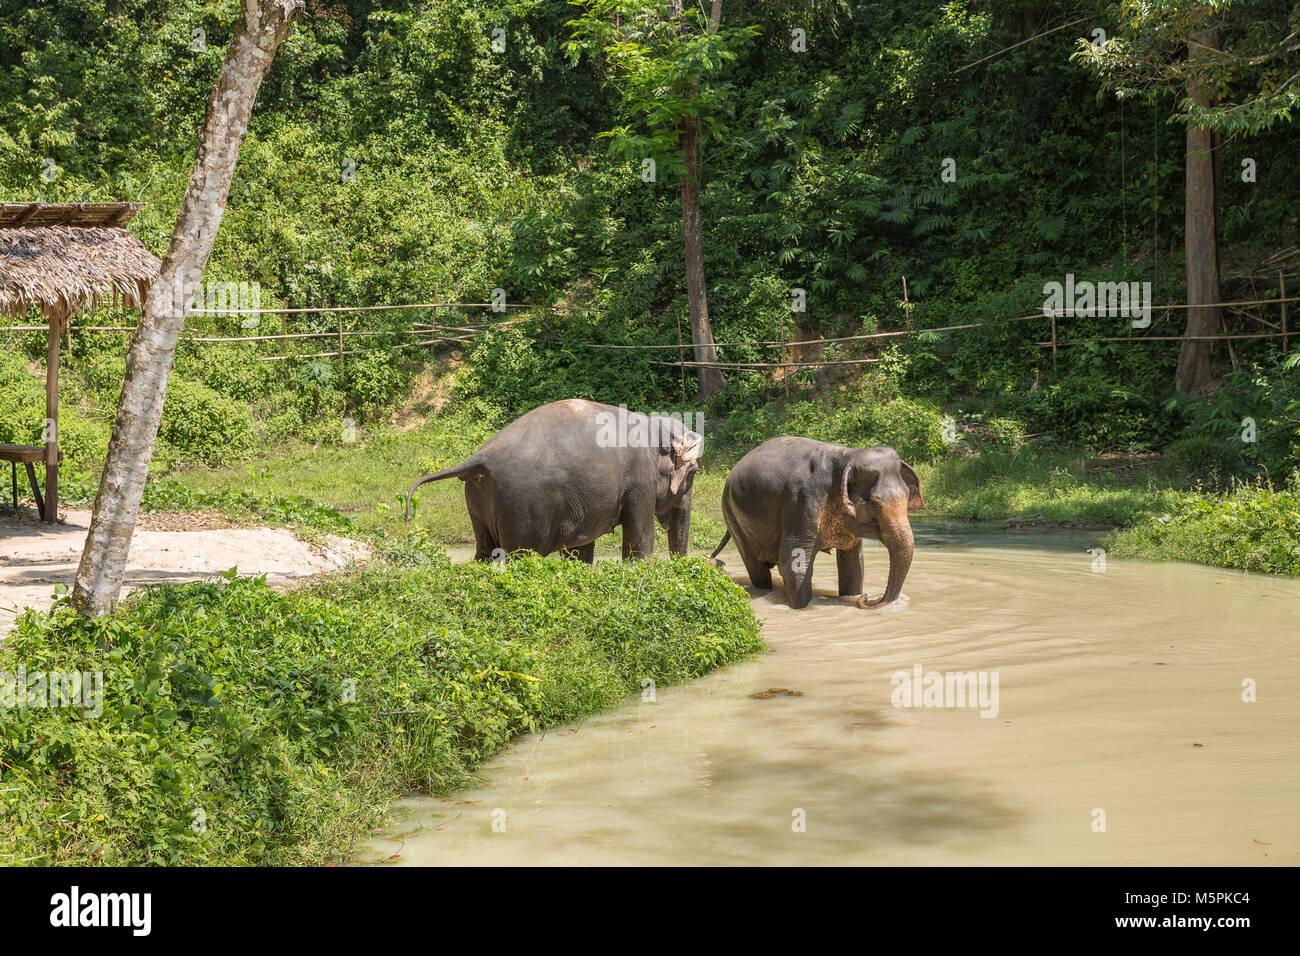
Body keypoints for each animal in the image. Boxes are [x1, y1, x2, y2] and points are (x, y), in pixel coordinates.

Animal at [404, 399, 702, 561]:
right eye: (694, 473)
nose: (680, 567)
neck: (651, 425)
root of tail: (479, 458)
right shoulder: (640, 482)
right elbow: (640, 540)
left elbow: (580, 550)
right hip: (522, 507)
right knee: (519, 556)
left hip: (476, 501)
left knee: (483, 553)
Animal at [709, 437, 923, 609]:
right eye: (875, 504)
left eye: (906, 498)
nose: (866, 597)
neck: (848, 455)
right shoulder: (802, 503)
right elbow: (793, 561)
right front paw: (801, 608)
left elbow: (854, 564)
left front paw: (850, 595)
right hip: (732, 515)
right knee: (756, 566)